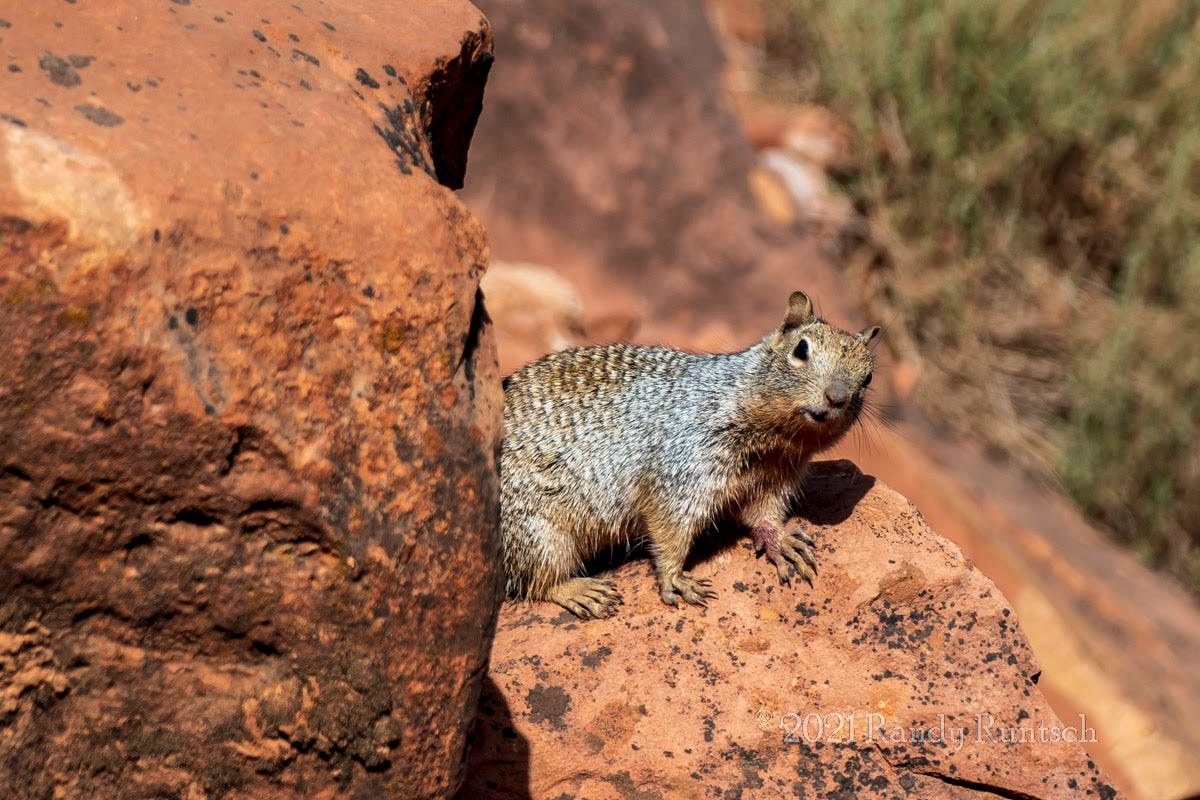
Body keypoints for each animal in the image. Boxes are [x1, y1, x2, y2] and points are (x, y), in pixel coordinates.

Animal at [500, 291, 879, 618]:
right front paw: (674, 577)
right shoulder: (683, 466)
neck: (774, 441)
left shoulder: (774, 478)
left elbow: (764, 513)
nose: (836, 397)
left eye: (869, 377)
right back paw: (582, 592)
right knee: (535, 581)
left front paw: (781, 540)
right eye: (801, 349)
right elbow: (671, 526)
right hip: (539, 534)